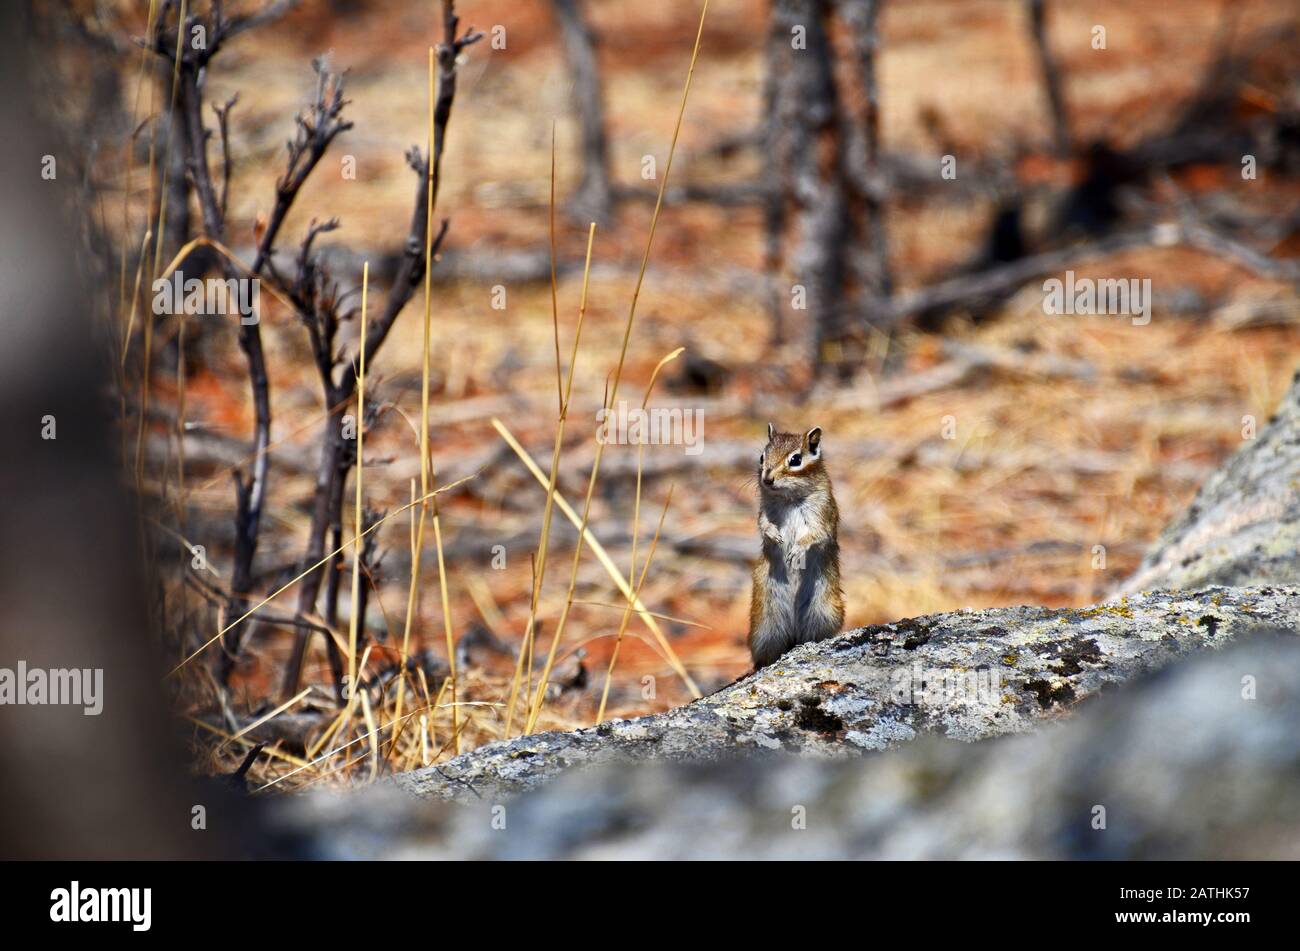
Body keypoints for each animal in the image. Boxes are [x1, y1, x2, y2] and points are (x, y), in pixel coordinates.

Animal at [748, 423, 845, 668]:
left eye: (795, 460)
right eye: (762, 457)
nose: (767, 479)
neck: (788, 499)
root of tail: (794, 635)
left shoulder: (822, 515)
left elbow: (815, 535)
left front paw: (796, 550)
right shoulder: (764, 511)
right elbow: (763, 524)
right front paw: (774, 535)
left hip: (823, 613)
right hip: (765, 625)